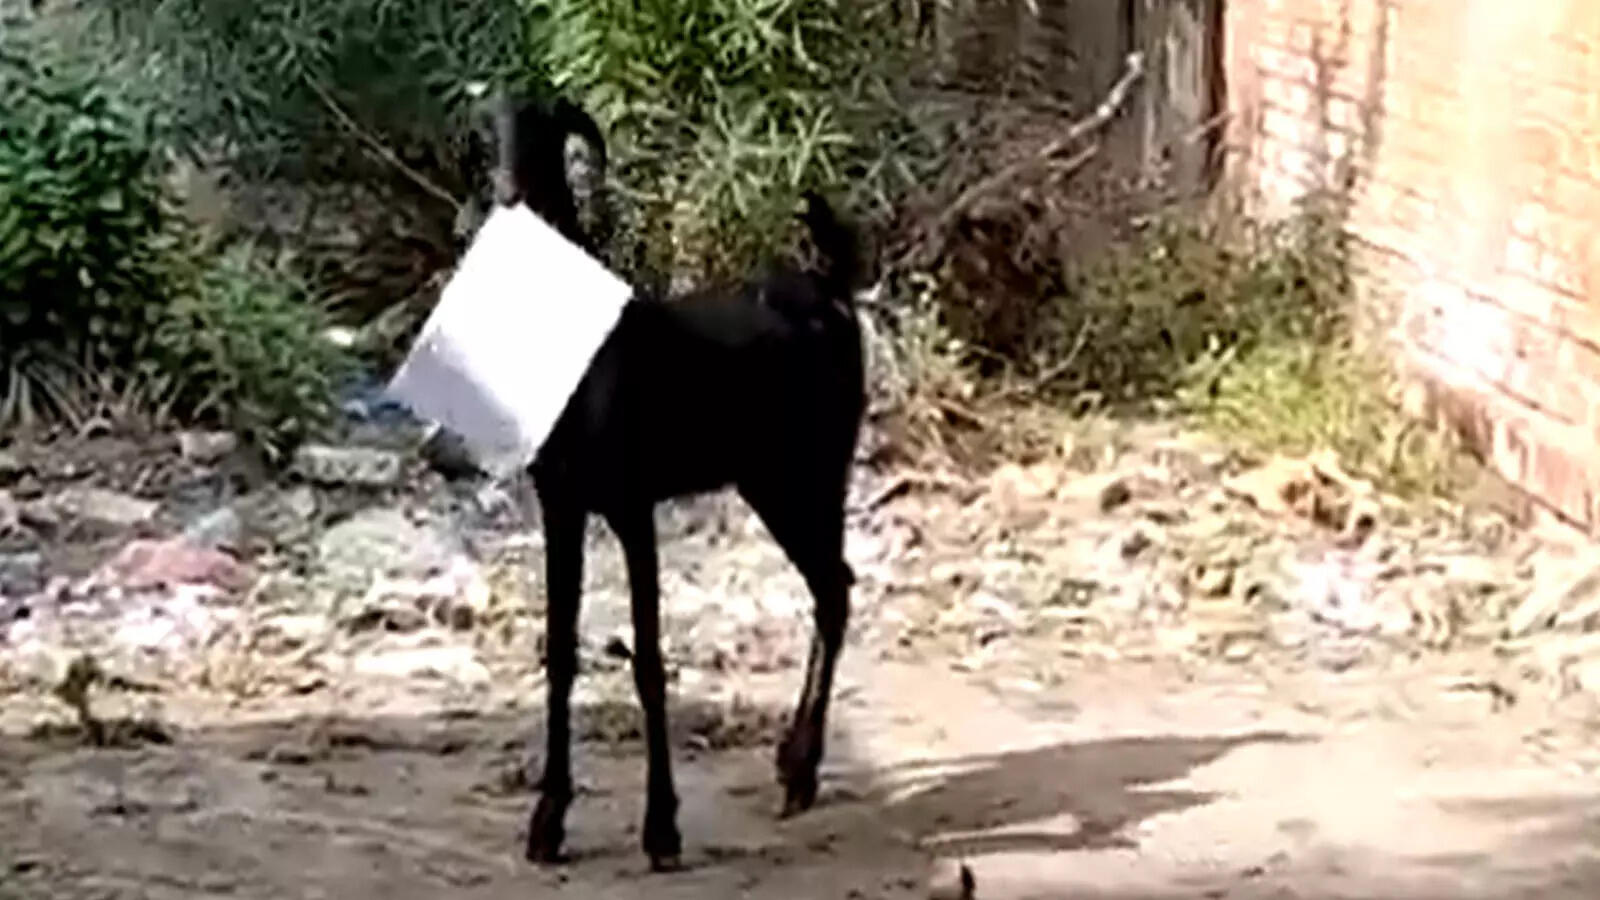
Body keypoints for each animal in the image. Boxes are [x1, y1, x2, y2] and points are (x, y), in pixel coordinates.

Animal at [486, 95, 866, 871]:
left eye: (543, 140)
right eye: (494, 131)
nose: (505, 198)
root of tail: (833, 288)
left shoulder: (632, 505)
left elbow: (649, 660)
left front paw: (661, 829)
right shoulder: (561, 504)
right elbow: (561, 653)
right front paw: (548, 820)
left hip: (812, 470)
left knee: (835, 589)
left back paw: (801, 770)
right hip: (770, 481)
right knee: (830, 585)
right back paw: (793, 765)